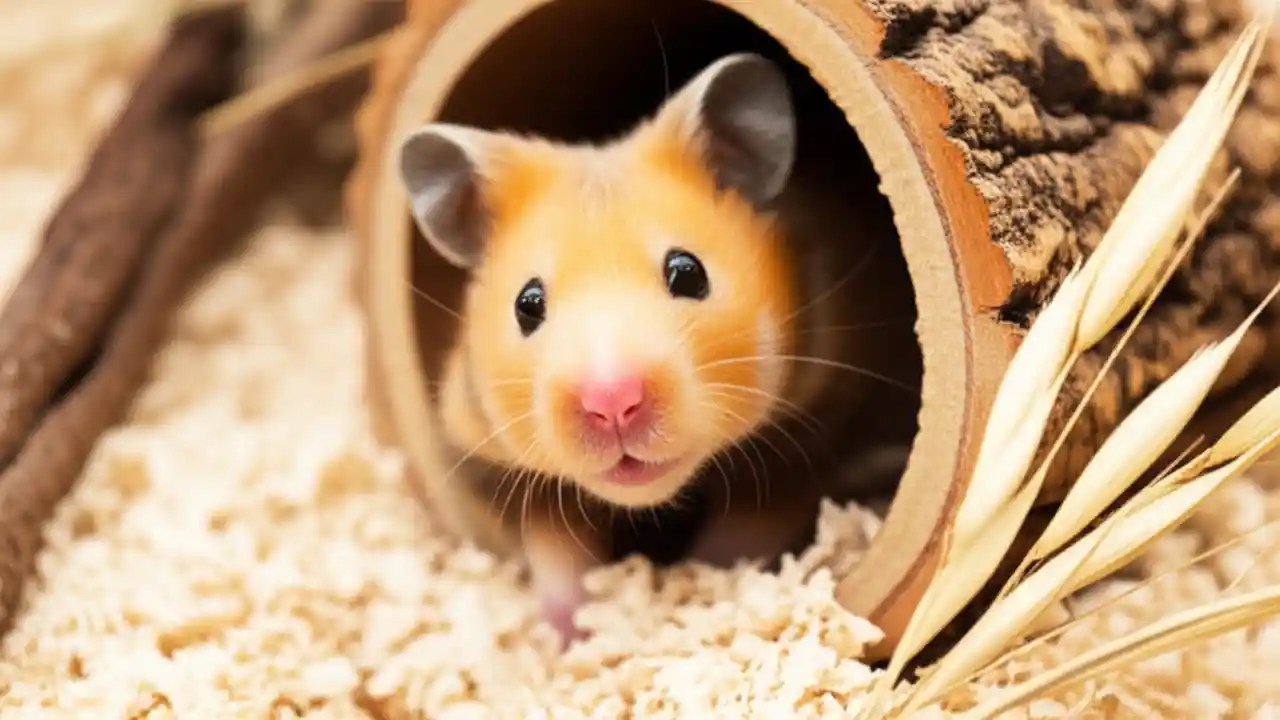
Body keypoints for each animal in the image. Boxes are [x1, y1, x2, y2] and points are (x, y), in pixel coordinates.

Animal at [397, 53, 916, 644]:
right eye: (527, 304)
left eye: (688, 273)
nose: (612, 402)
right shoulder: (509, 469)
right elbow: (554, 545)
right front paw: (571, 633)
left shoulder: (807, 438)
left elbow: (748, 528)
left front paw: (696, 585)